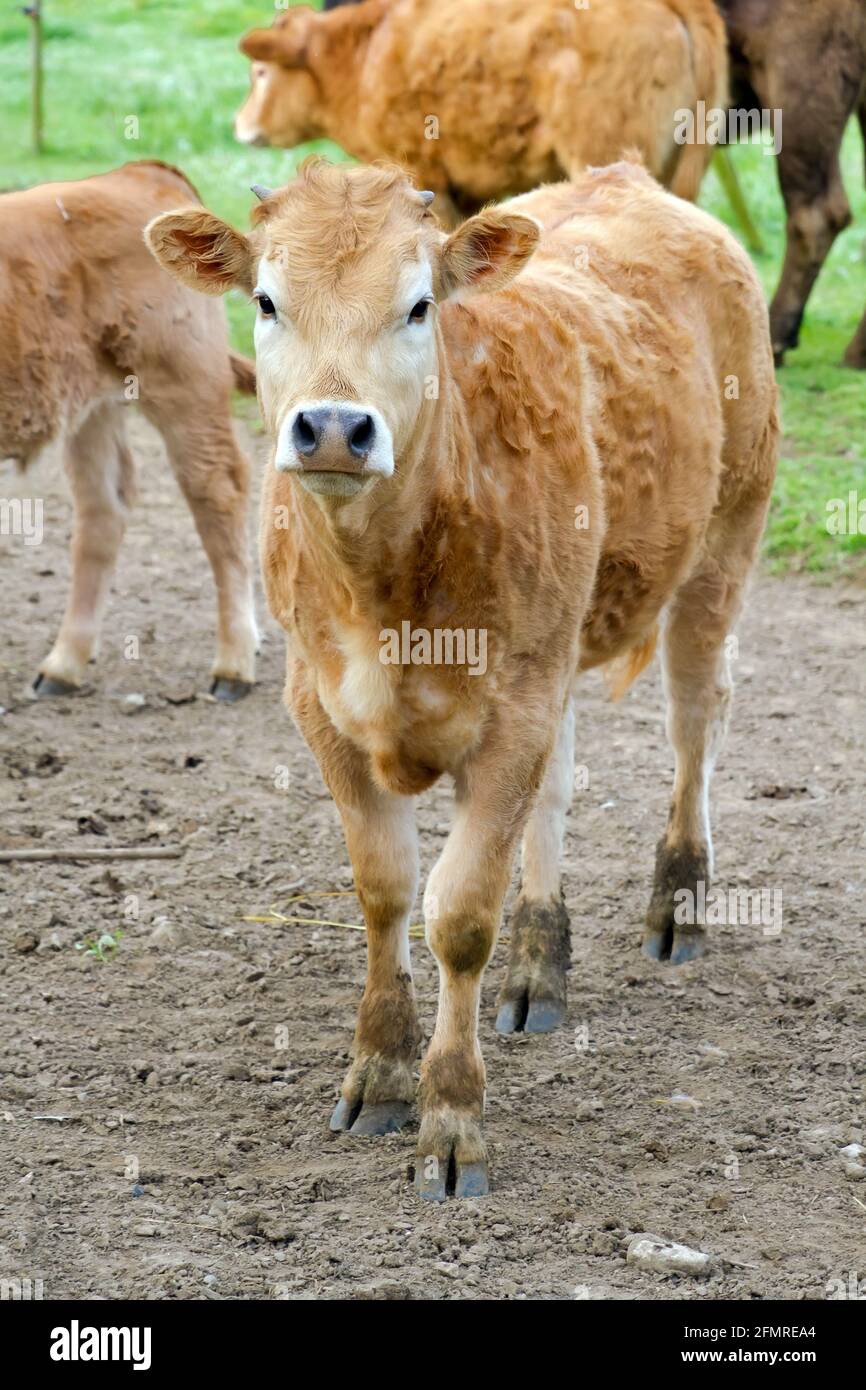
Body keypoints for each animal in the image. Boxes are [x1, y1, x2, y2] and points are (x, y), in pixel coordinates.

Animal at [0, 161, 258, 700]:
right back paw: (64, 664)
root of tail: (138, 173)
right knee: (104, 510)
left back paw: (234, 665)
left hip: (186, 384)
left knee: (219, 491)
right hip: (93, 405)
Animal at [146, 158, 778, 1199]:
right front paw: (379, 1070)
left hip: (726, 539)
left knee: (699, 718)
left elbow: (460, 916)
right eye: (266, 301)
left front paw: (451, 1115)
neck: (385, 583)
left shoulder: (511, 712)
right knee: (559, 788)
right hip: (564, 638)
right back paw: (538, 963)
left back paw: (679, 902)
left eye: (417, 306)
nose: (332, 428)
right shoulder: (321, 705)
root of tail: (627, 178)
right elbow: (386, 890)